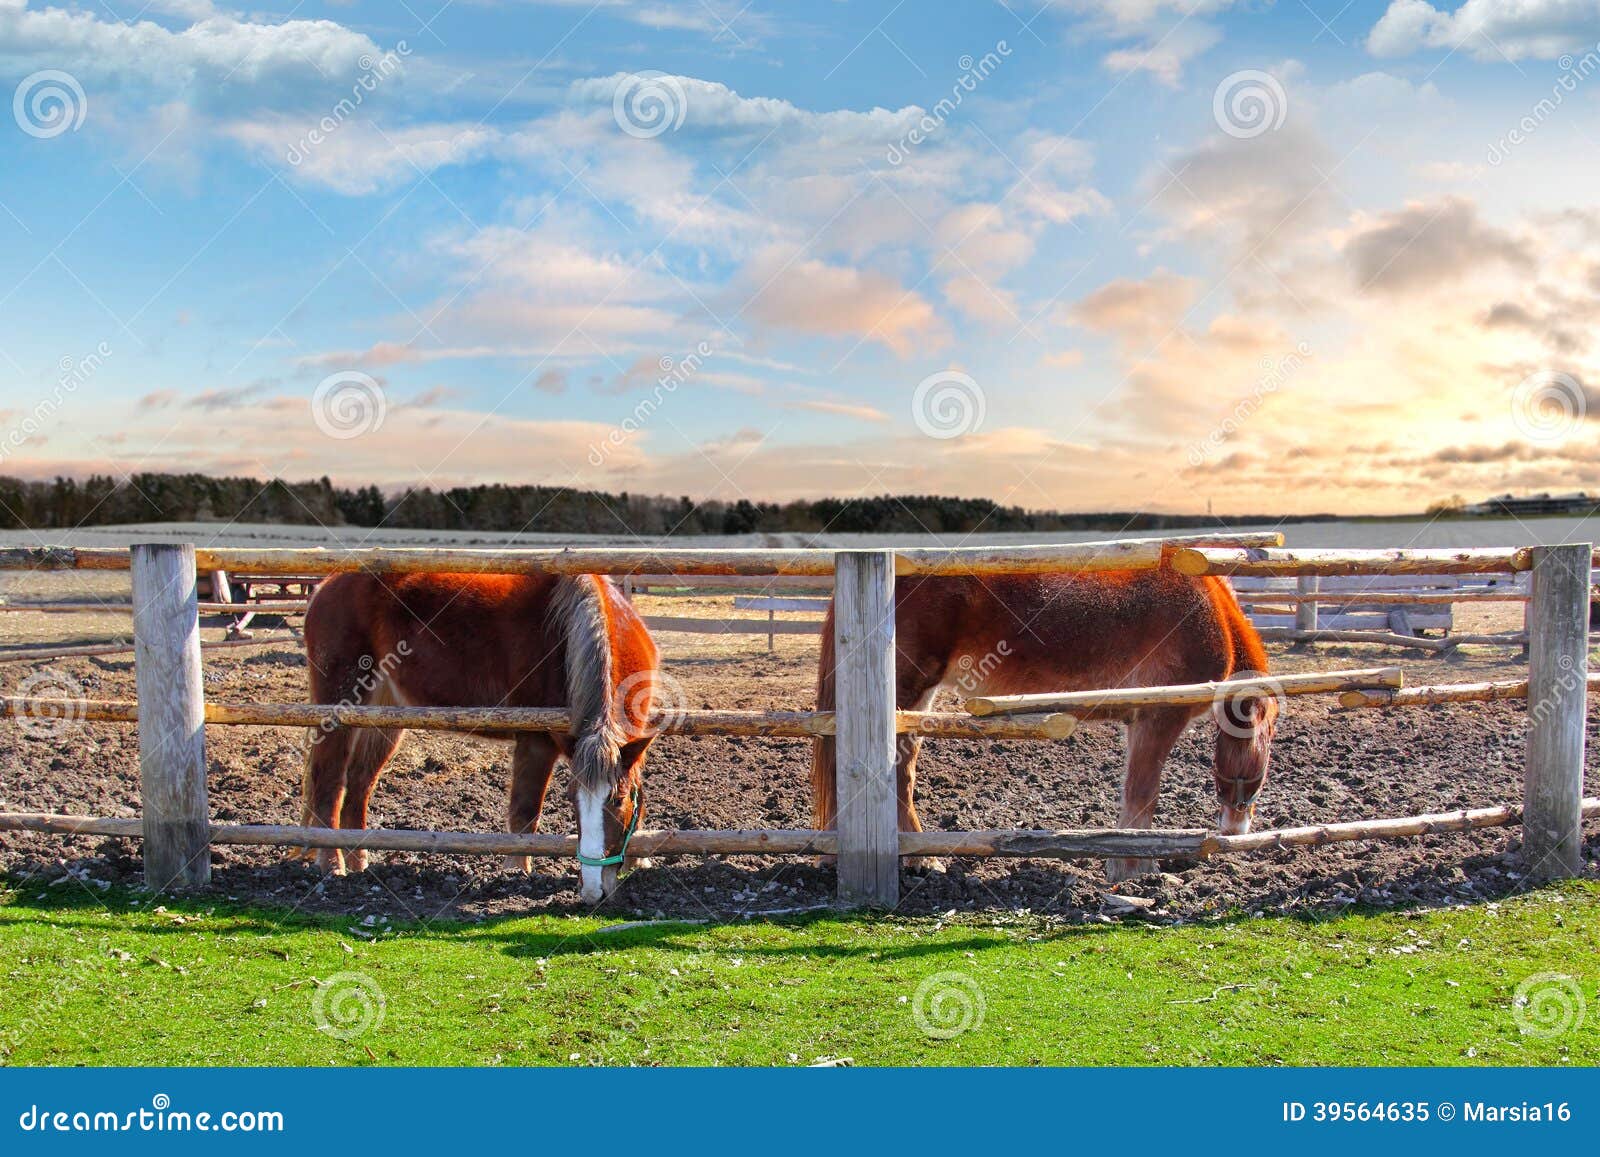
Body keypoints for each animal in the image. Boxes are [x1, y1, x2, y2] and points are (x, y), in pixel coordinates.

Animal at [300, 571, 659, 903]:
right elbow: (525, 811)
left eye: (618, 800)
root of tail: (328, 585)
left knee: (359, 784)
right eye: (572, 799)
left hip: (384, 717)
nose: (593, 891)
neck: (573, 634)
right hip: (340, 711)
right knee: (329, 781)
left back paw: (357, 861)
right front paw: (516, 872)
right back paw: (332, 863)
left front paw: (638, 860)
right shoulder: (536, 742)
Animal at [811, 567, 1278, 882]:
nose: (1237, 827)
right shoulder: (1158, 719)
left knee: (901, 770)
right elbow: (1142, 794)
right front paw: (1133, 870)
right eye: (1267, 741)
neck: (1210, 615)